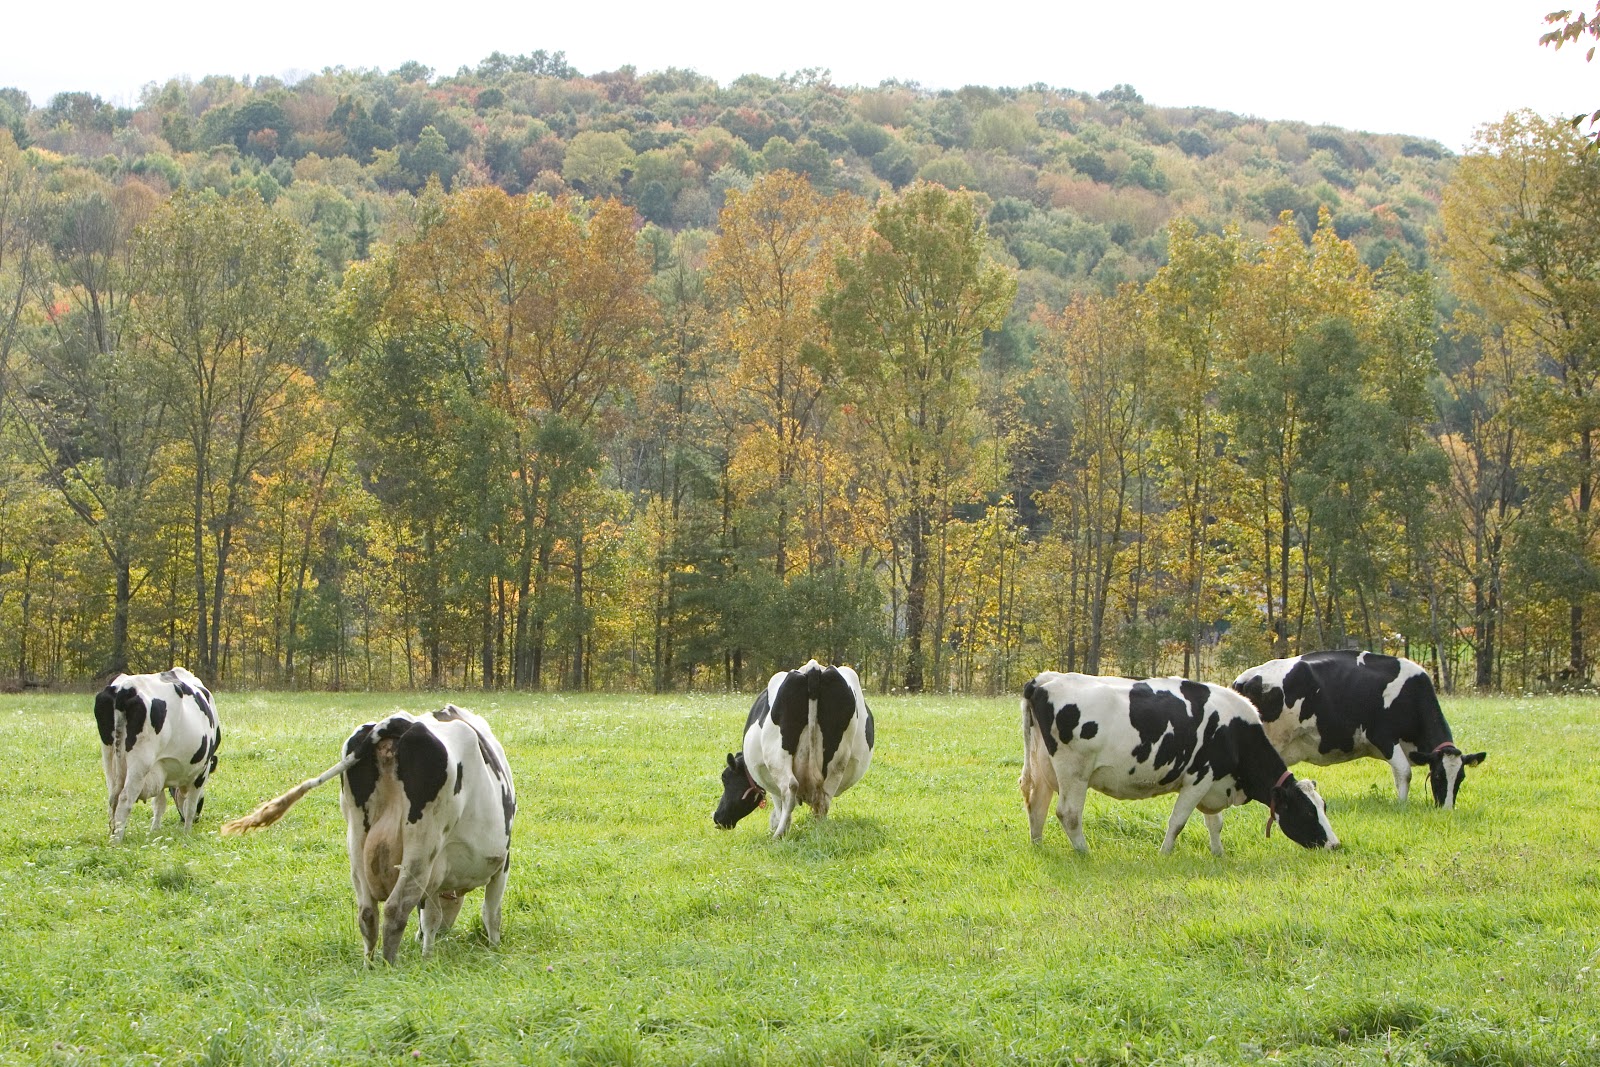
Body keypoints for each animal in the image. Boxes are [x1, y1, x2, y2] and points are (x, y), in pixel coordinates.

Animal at [94, 667, 221, 843]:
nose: (197, 820)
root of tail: (126, 688)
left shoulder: (160, 767)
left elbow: (159, 803)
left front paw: (154, 830)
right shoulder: (202, 770)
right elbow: (190, 805)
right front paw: (187, 832)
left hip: (109, 756)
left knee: (113, 797)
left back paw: (112, 834)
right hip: (141, 762)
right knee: (125, 798)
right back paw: (117, 841)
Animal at [222, 705, 515, 965]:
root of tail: (398, 721)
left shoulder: (436, 877)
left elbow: (429, 917)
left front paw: (427, 954)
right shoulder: (500, 865)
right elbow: (491, 912)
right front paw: (494, 947)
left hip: (356, 838)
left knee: (367, 912)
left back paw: (370, 965)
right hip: (421, 845)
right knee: (395, 909)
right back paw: (389, 965)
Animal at [713, 660, 875, 837]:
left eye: (724, 777)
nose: (717, 817)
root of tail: (813, 667)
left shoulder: (770, 780)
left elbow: (778, 809)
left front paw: (777, 828)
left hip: (777, 757)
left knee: (790, 788)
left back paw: (778, 835)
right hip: (837, 762)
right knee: (824, 797)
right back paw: (819, 830)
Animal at [1020, 671, 1339, 854]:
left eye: (1323, 807)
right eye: (1307, 811)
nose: (1335, 845)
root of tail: (1044, 679)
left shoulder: (1214, 783)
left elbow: (1215, 823)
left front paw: (1218, 853)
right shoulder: (1199, 778)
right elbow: (1178, 822)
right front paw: (1164, 854)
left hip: (1043, 767)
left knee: (1037, 805)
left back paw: (1038, 846)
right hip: (1074, 770)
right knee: (1068, 813)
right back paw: (1084, 852)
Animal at [1231, 649, 1487, 808]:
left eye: (1460, 778)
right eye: (1438, 776)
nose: (1447, 809)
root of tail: (1243, 679)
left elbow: (1398, 775)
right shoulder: (1383, 736)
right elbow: (1405, 773)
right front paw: (1402, 805)